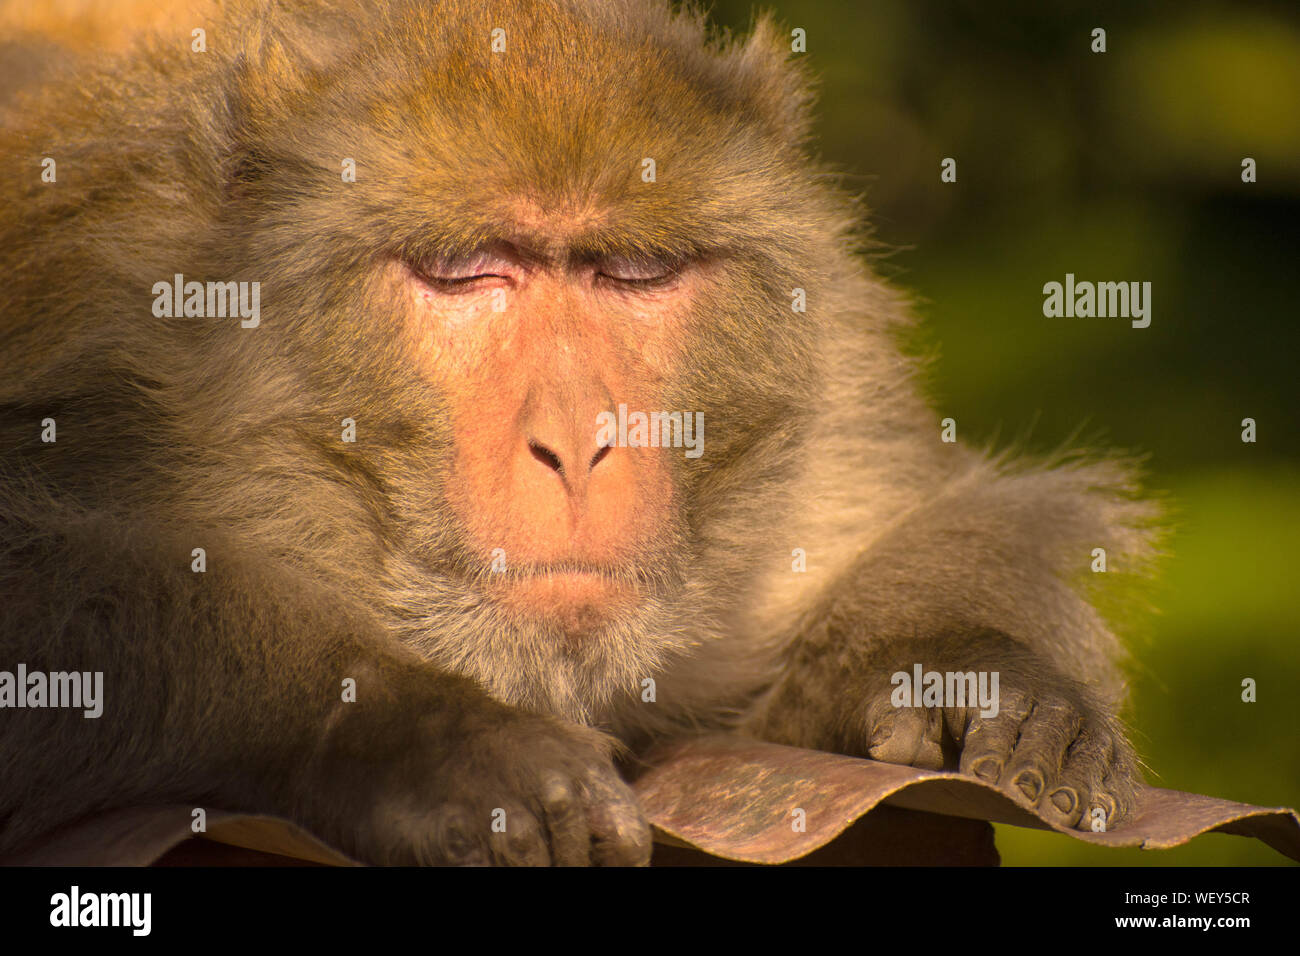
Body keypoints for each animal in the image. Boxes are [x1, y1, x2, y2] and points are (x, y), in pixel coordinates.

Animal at [0, 0, 1161, 865]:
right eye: (465, 271)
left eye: (633, 273)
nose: (578, 440)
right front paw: (411, 732)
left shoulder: (825, 397)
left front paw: (958, 663)